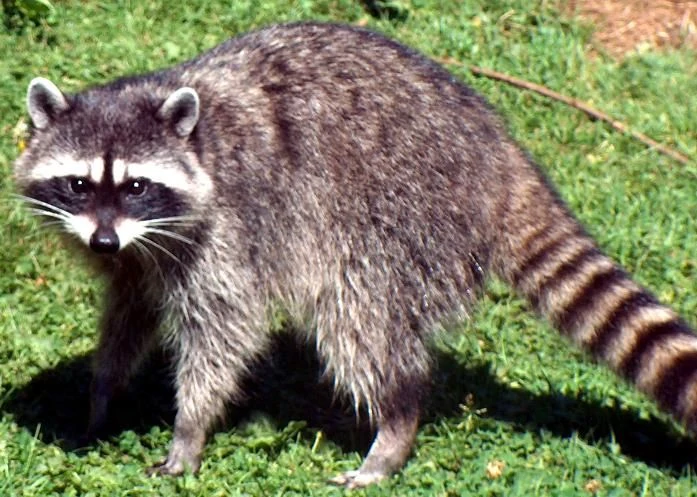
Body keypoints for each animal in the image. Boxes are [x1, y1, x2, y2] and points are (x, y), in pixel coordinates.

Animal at [13, 21, 697, 488]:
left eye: (135, 185)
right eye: (78, 184)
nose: (102, 240)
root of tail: (501, 156)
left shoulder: (229, 232)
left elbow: (224, 331)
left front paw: (189, 429)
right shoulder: (137, 256)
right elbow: (130, 313)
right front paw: (103, 391)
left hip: (398, 220)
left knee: (358, 324)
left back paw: (395, 424)